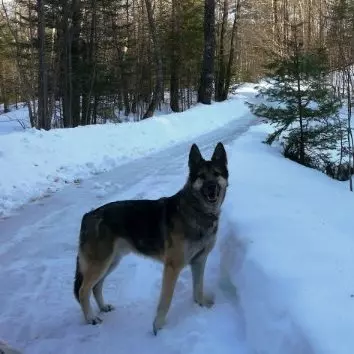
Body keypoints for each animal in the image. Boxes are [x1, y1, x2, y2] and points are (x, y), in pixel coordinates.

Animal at [74, 141, 230, 334]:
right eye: (201, 176)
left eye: (216, 174)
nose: (211, 188)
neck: (197, 211)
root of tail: (88, 215)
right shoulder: (172, 268)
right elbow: (166, 301)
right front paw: (158, 327)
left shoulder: (199, 261)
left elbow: (198, 288)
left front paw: (201, 304)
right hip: (100, 263)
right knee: (83, 290)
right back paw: (91, 318)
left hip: (111, 262)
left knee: (96, 286)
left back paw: (103, 307)